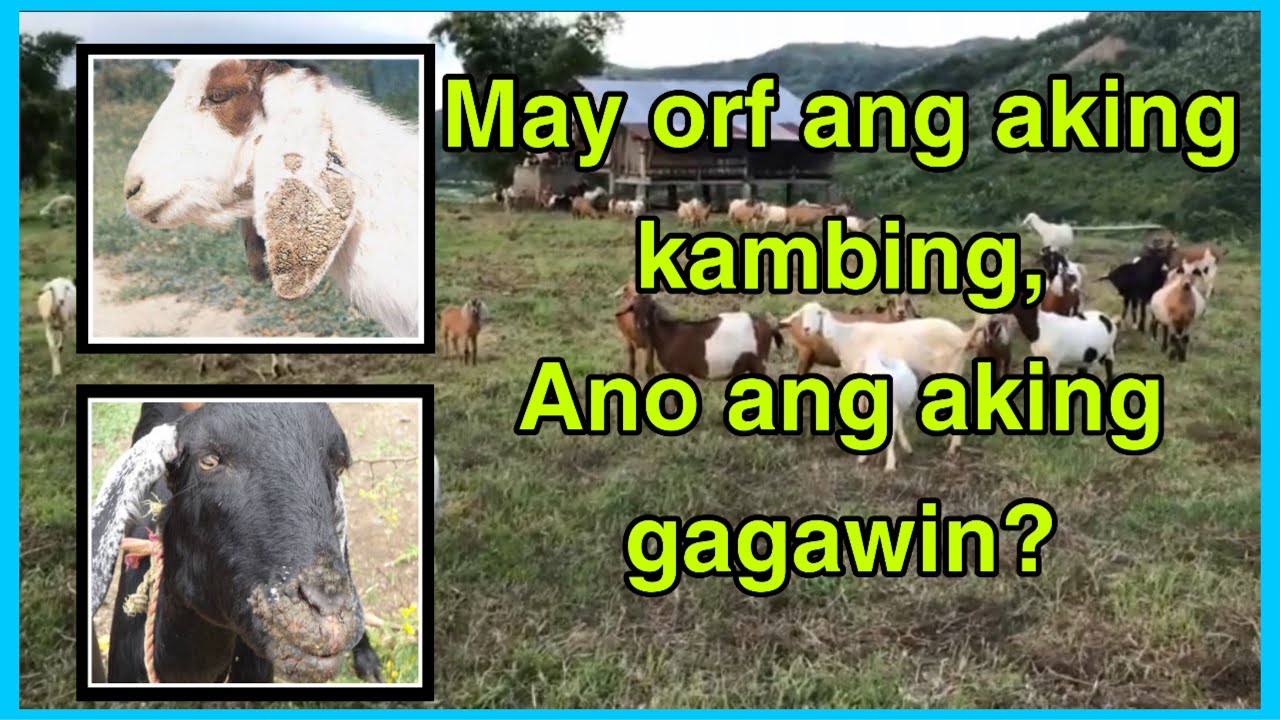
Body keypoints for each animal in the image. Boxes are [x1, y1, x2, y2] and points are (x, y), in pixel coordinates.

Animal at [620, 293, 781, 379]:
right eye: (633, 309)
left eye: (651, 308)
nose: (642, 324)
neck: (668, 334)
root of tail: (768, 326)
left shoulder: (680, 370)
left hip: (759, 363)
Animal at [789, 301, 984, 456]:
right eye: (802, 314)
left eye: (819, 313)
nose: (806, 329)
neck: (845, 336)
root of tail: (962, 336)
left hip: (950, 368)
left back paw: (953, 448)